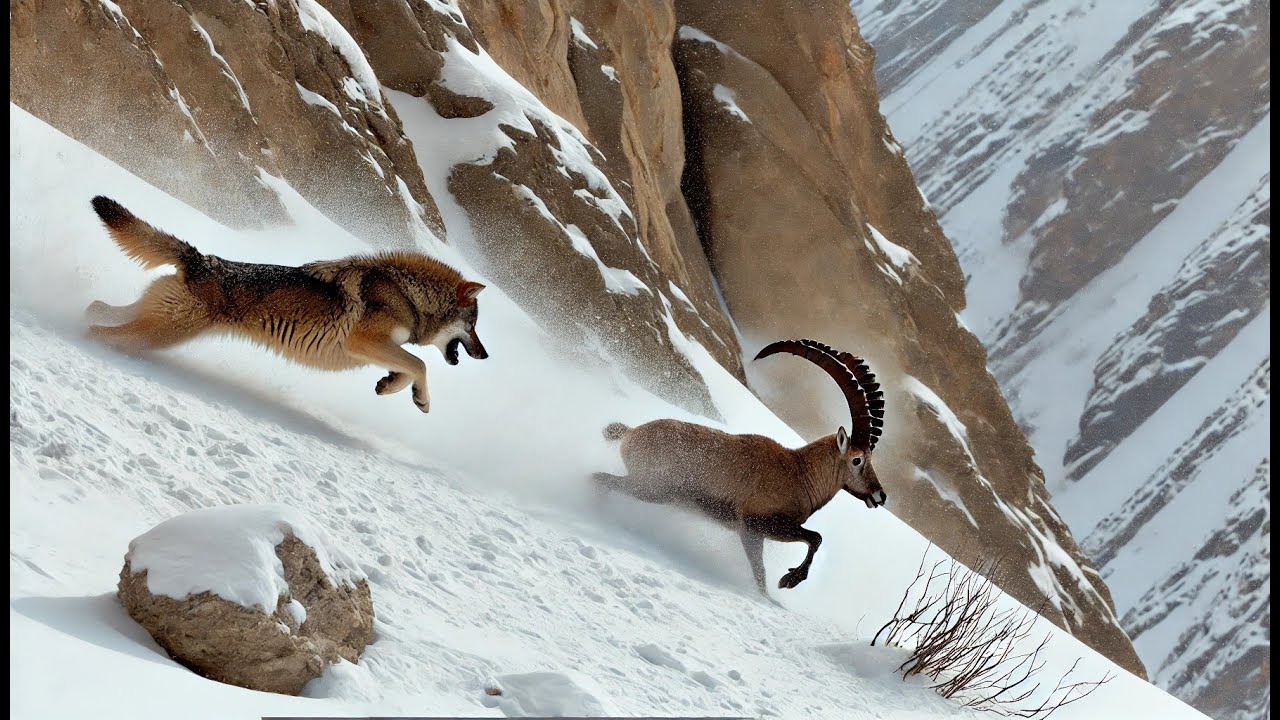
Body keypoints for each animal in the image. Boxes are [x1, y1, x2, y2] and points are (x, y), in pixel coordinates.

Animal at [85, 196, 489, 413]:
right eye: (473, 326)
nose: (486, 356)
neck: (407, 293)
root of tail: (201, 259)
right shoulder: (362, 342)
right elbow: (420, 364)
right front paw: (422, 399)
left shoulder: (374, 348)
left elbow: (408, 368)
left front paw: (390, 387)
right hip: (164, 331)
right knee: (101, 331)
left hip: (153, 317)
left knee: (96, 307)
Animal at [594, 339, 887, 594]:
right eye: (857, 459)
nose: (880, 496)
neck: (799, 472)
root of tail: (630, 433)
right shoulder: (756, 525)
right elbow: (808, 542)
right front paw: (788, 581)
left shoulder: (756, 531)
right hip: (653, 488)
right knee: (599, 479)